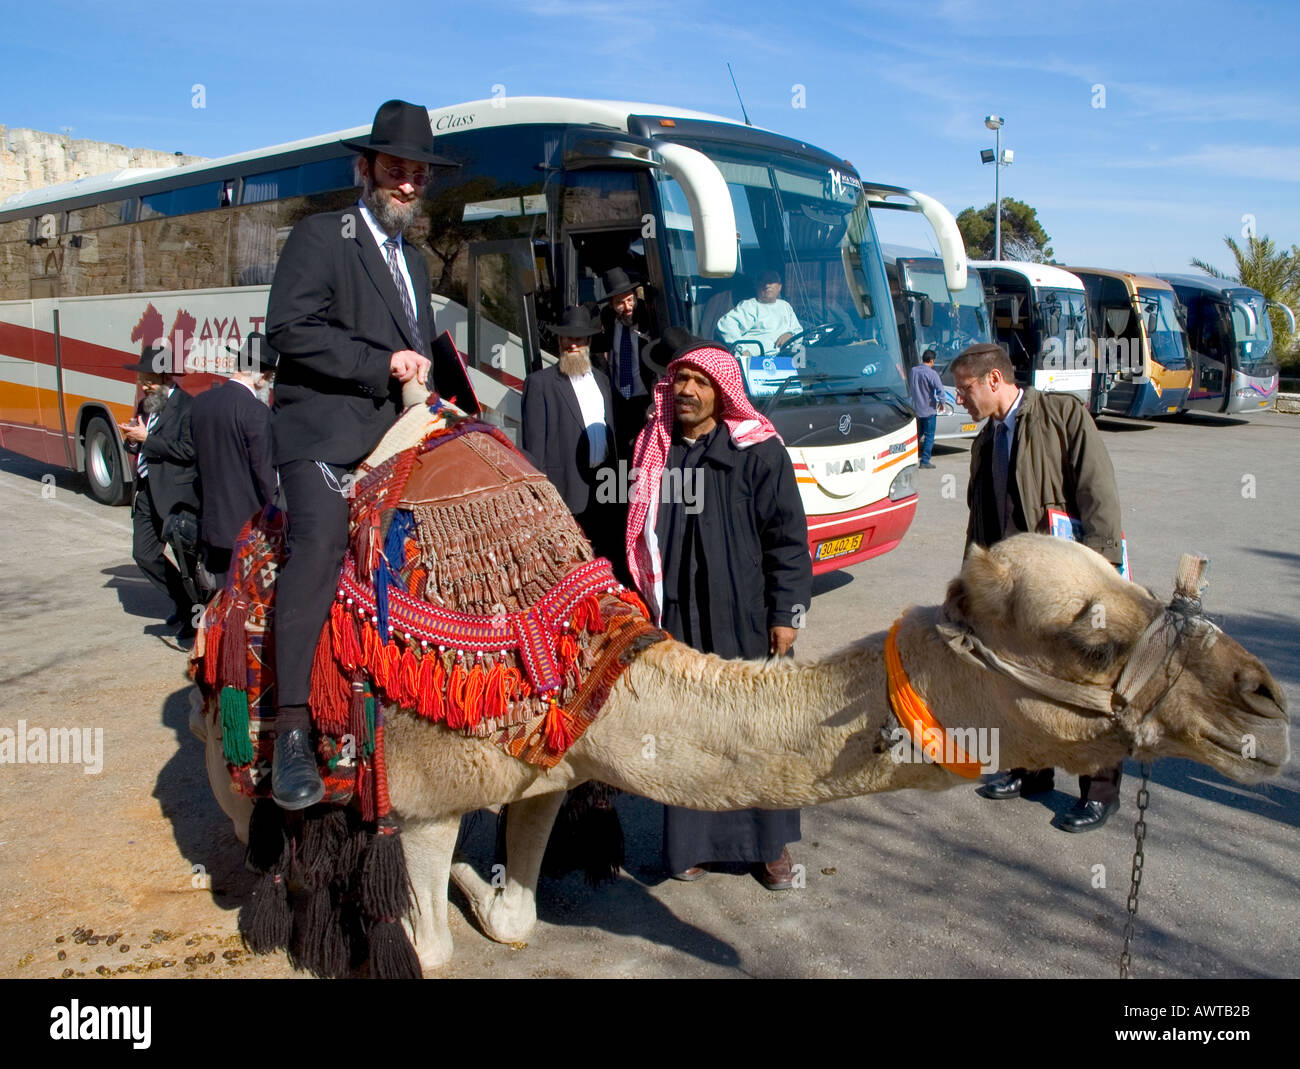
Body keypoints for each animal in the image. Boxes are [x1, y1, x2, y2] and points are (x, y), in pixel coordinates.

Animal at [195, 526, 1289, 974]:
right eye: (1092, 637)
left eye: (1137, 584)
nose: (1265, 700)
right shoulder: (424, 787)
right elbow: (425, 946)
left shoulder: (552, 764)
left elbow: (514, 913)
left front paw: (482, 885)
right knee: (248, 814)